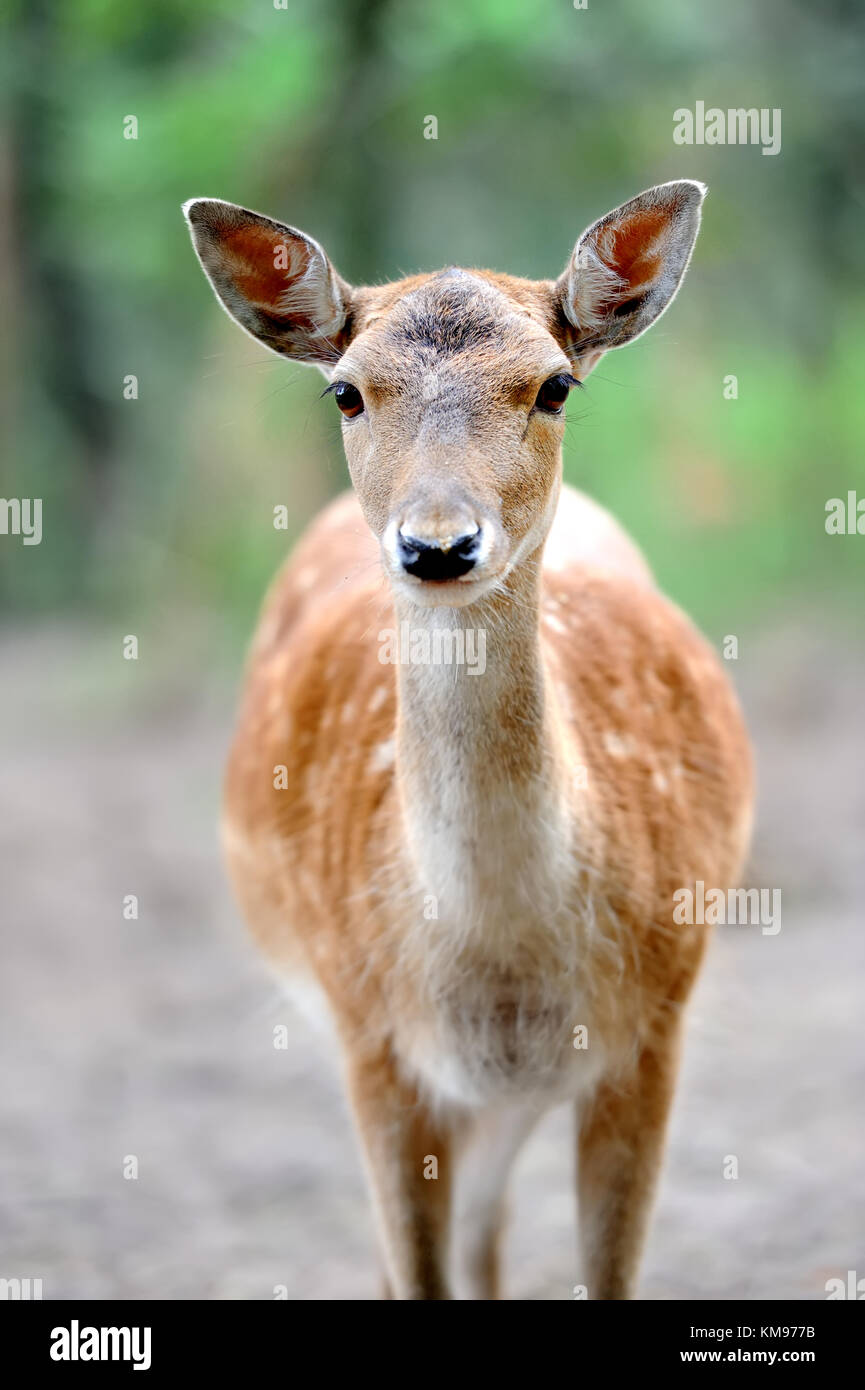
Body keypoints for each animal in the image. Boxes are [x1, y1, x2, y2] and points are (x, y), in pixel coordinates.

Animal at [184, 179, 753, 1300]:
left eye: (554, 387)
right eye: (346, 394)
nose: (437, 544)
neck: (497, 965)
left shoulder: (653, 1022)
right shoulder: (370, 1035)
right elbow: (416, 1271)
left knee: (489, 1227)